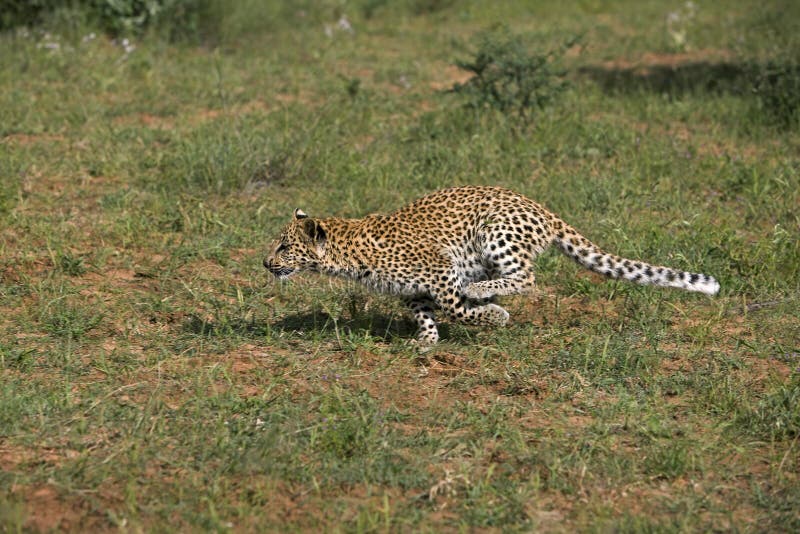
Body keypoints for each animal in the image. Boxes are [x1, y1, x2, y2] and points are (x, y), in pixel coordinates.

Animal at [264, 186, 719, 345]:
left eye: (285, 246)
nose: (266, 263)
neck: (348, 254)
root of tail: (542, 208)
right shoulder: (413, 292)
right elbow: (428, 316)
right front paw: (425, 342)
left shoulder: (440, 273)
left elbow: (456, 309)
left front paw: (493, 317)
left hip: (495, 232)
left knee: (527, 278)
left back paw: (485, 294)